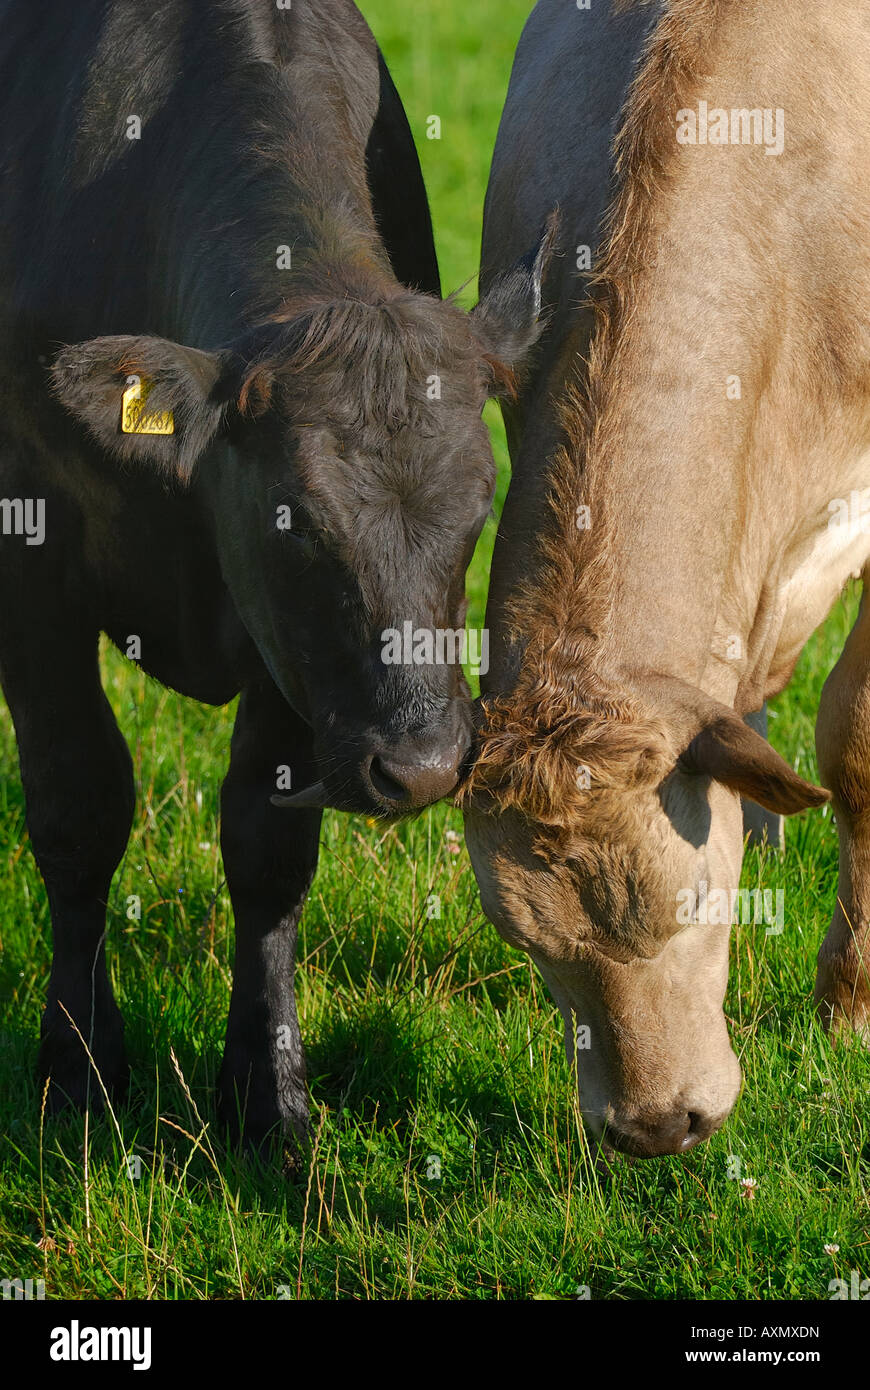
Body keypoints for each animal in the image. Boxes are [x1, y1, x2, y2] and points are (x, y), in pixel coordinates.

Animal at [0, 0, 549, 1148]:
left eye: (481, 505)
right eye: (296, 518)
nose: (424, 763)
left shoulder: (301, 668)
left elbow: (267, 844)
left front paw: (269, 1091)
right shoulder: (28, 561)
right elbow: (78, 804)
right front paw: (78, 1070)